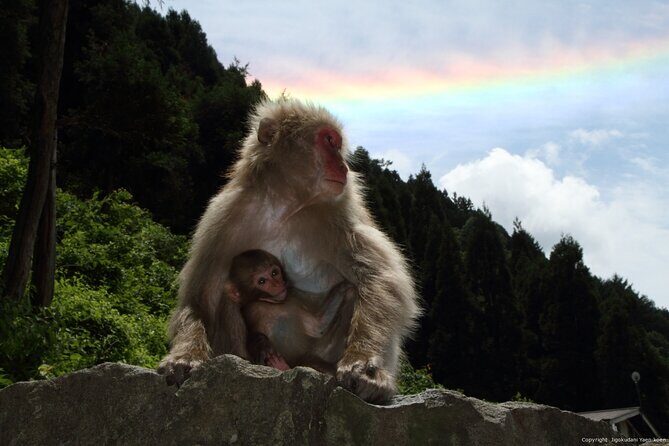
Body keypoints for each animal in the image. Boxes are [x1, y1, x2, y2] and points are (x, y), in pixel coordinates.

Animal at [224, 249, 355, 375]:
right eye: (262, 281)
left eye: (274, 273)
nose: (277, 284)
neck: (272, 304)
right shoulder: (251, 310)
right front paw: (261, 345)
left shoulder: (292, 299)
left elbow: (319, 326)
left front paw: (345, 287)